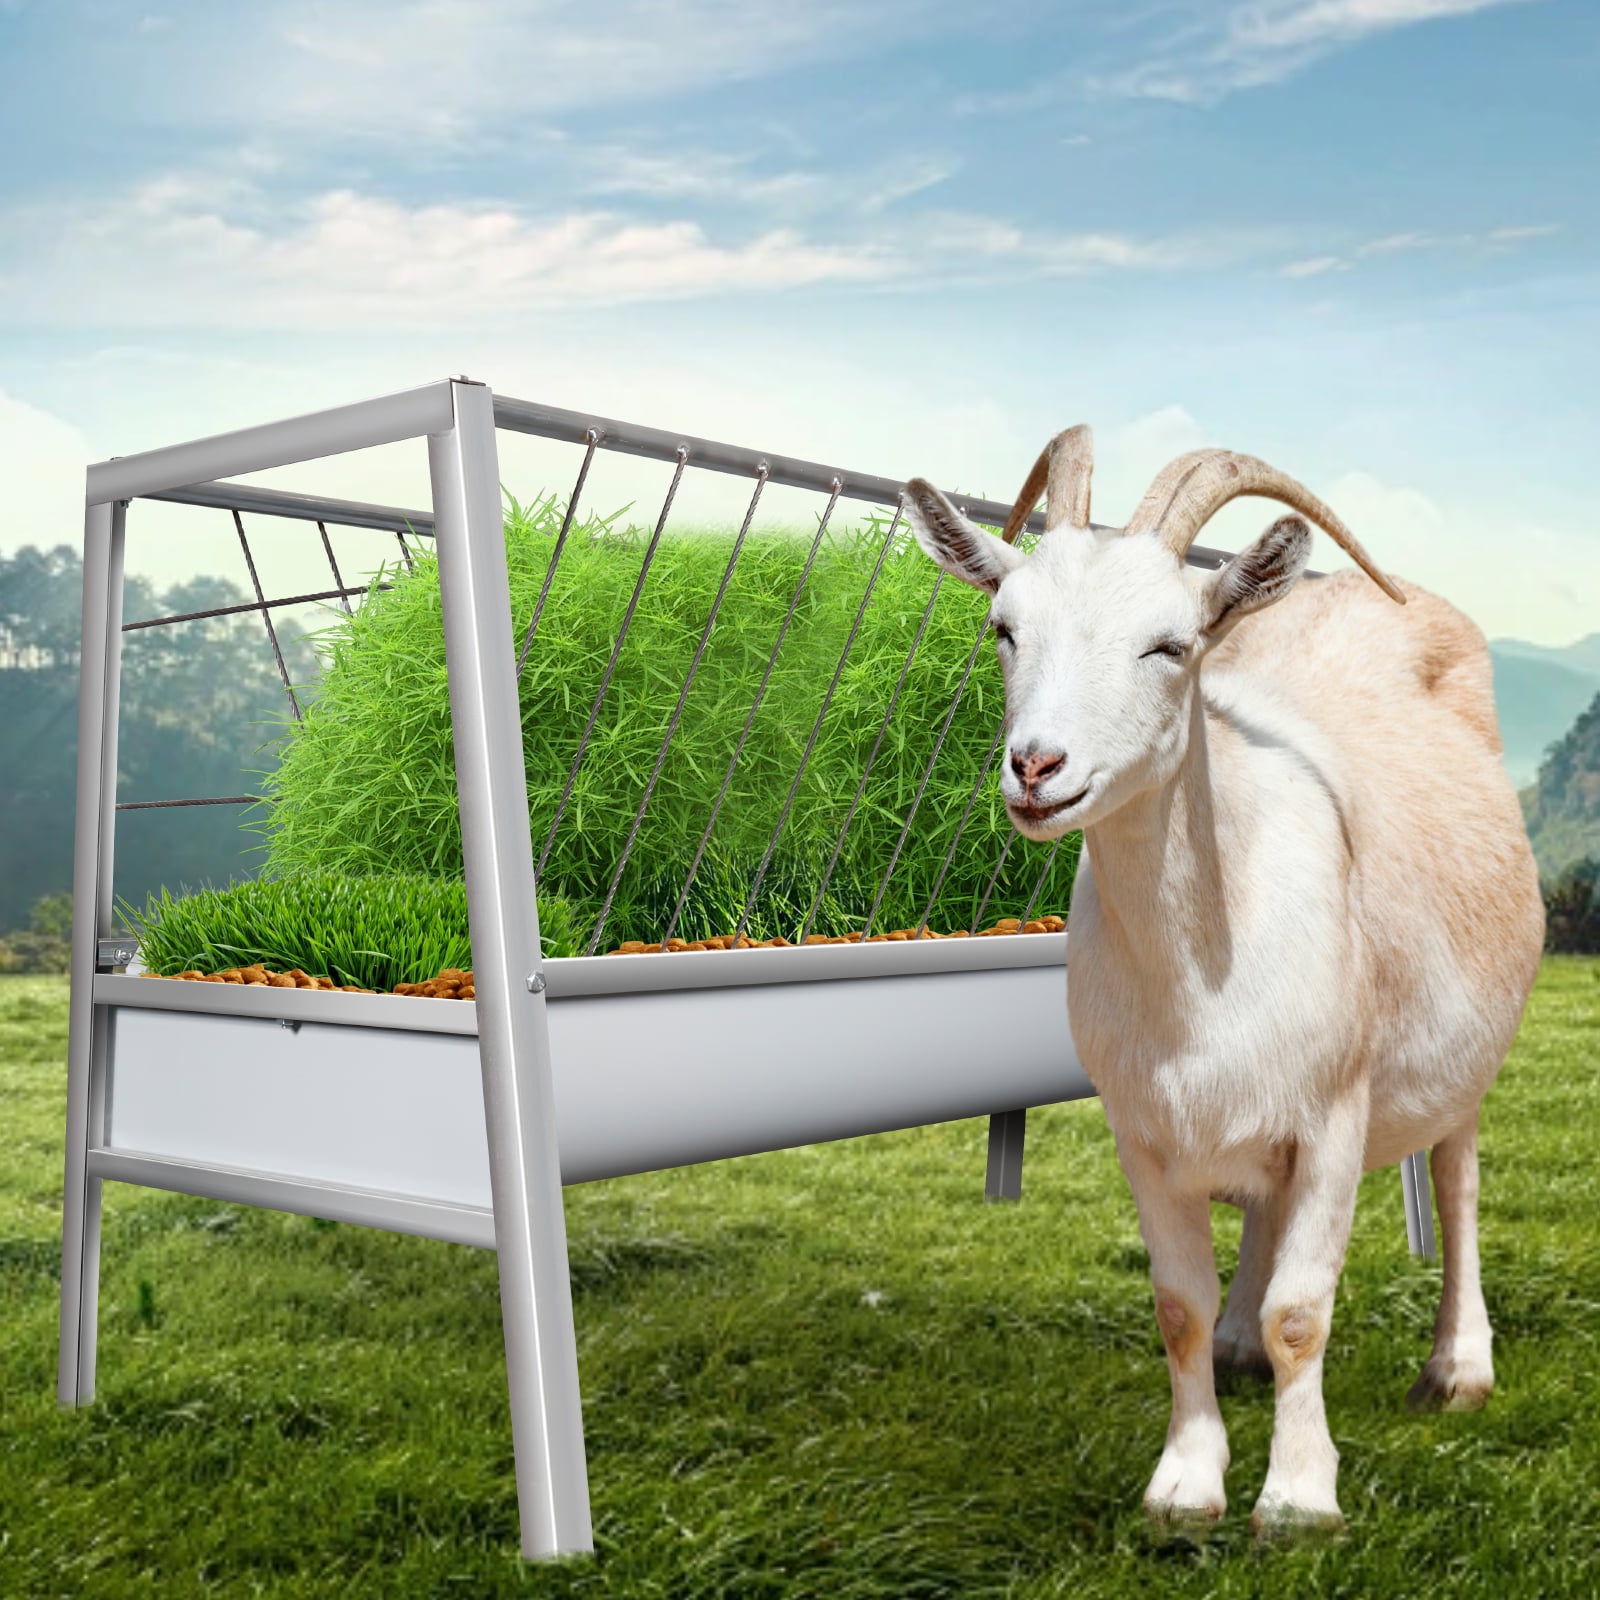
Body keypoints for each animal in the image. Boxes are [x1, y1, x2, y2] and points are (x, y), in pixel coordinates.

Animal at [902, 429, 1544, 1535]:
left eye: (1169, 645)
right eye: (1003, 628)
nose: (1036, 768)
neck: (1201, 963)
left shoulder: (1334, 1114)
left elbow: (1304, 1310)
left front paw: (1298, 1498)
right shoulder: (1145, 1128)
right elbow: (1178, 1306)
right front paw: (1187, 1483)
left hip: (1462, 1053)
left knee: (1457, 1174)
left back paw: (1457, 1368)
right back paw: (1245, 1350)